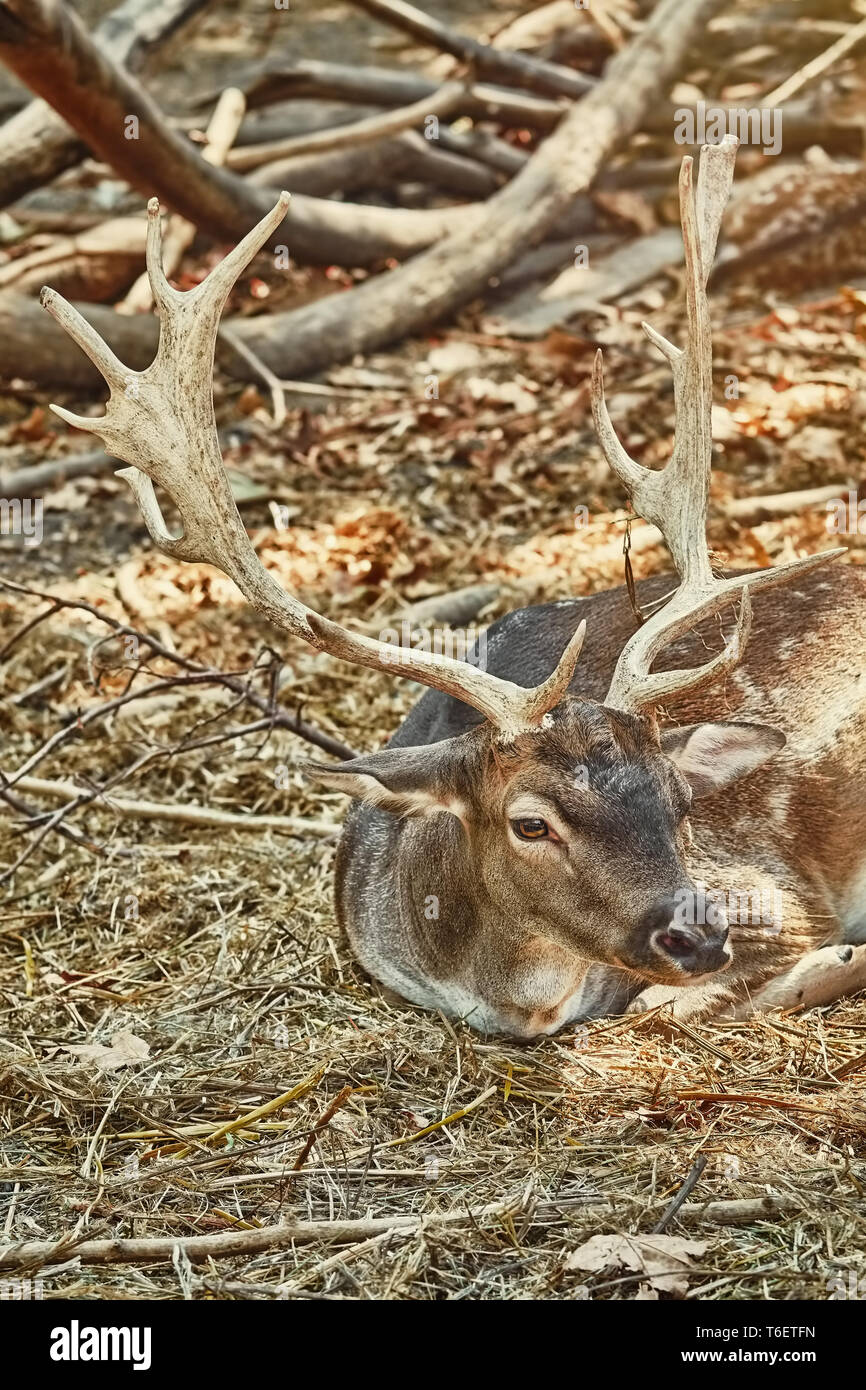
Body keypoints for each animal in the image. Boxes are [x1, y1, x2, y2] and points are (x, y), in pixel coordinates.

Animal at [40, 136, 866, 1039]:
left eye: (680, 801)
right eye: (531, 823)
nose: (697, 933)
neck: (501, 996)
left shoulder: (770, 893)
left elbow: (654, 1010)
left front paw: (823, 962)